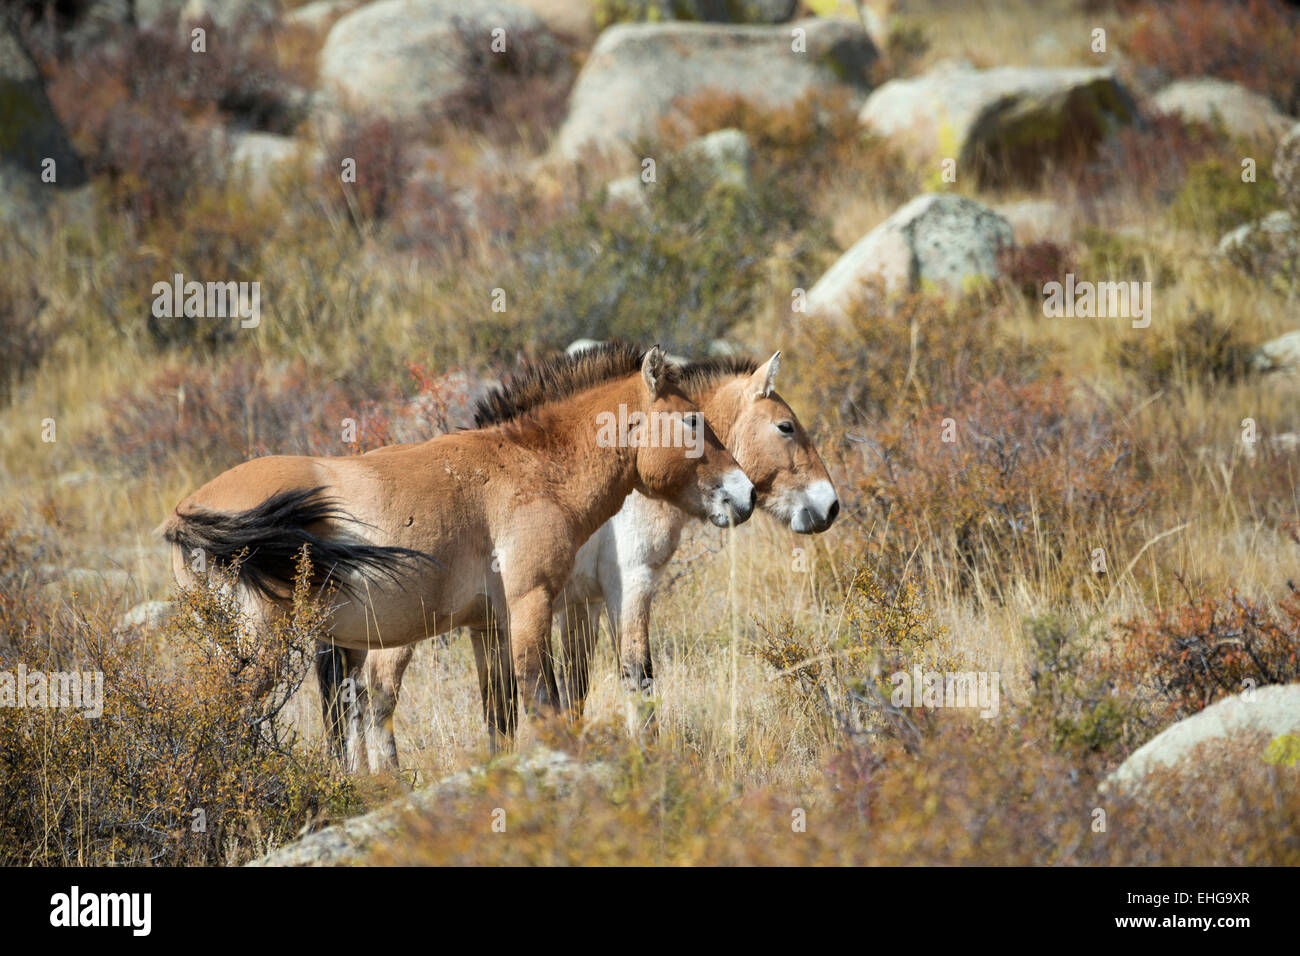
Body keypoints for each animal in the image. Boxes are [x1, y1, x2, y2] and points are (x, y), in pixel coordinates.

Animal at [157, 344, 756, 767]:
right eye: (693, 421)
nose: (745, 494)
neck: (531, 468)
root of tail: (185, 514)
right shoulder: (532, 606)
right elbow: (543, 700)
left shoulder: (487, 627)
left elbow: (500, 720)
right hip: (263, 647)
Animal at [336, 351, 838, 769]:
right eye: (786, 427)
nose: (830, 506)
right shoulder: (629, 586)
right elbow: (637, 675)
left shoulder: (580, 605)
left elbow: (572, 689)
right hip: (400, 631)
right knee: (378, 697)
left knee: (353, 704)